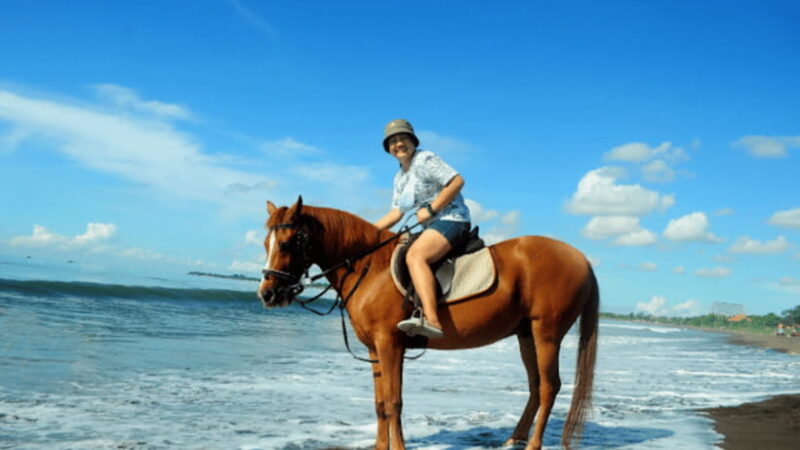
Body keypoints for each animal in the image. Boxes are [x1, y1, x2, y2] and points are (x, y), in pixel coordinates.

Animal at [257, 197, 599, 450]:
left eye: (287, 243)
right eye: (265, 243)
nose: (268, 293)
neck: (371, 267)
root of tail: (582, 258)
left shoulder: (390, 344)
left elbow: (393, 402)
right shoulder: (376, 350)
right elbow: (380, 403)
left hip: (546, 334)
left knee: (550, 386)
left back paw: (532, 444)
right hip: (526, 334)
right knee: (535, 386)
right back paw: (514, 438)